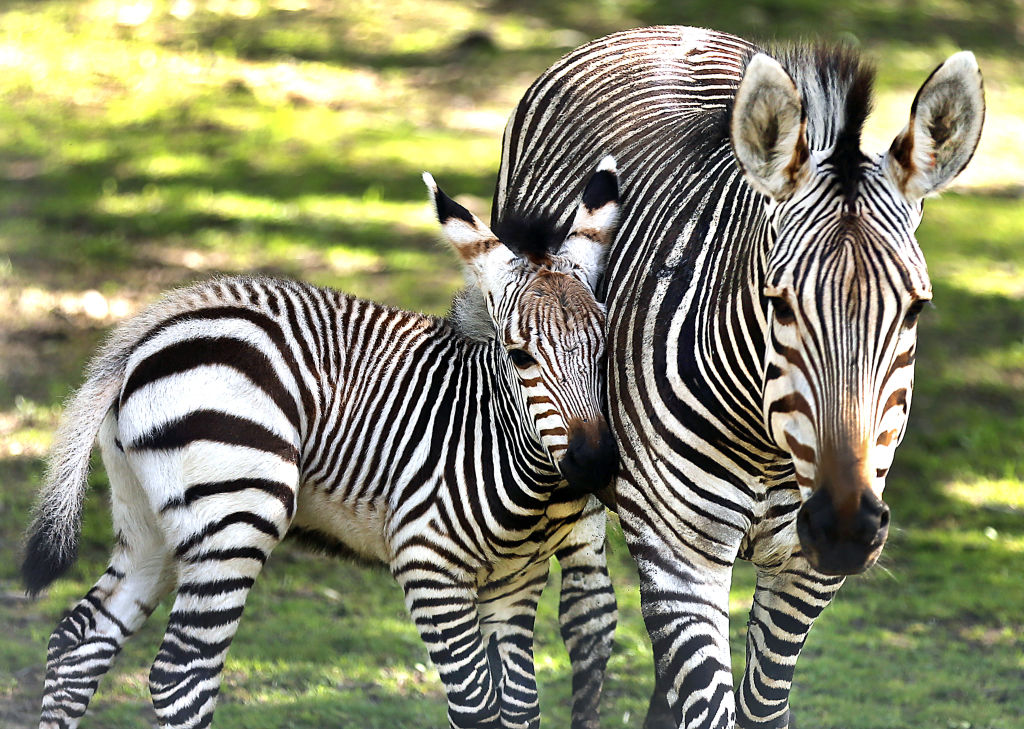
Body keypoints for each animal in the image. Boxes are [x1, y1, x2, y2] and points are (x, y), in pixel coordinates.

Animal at [21, 159, 624, 729]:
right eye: (520, 356)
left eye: (605, 348)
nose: (596, 464)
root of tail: (148, 334)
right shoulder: (428, 568)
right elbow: (478, 706)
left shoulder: (516, 583)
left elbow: (520, 707)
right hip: (237, 515)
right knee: (181, 674)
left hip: (152, 524)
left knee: (79, 641)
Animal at [493, 26, 984, 729]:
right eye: (779, 304)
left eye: (916, 310)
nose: (843, 528)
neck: (770, 446)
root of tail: (661, 31)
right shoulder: (679, 558)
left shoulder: (806, 576)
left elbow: (759, 704)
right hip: (565, 454)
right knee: (589, 617)